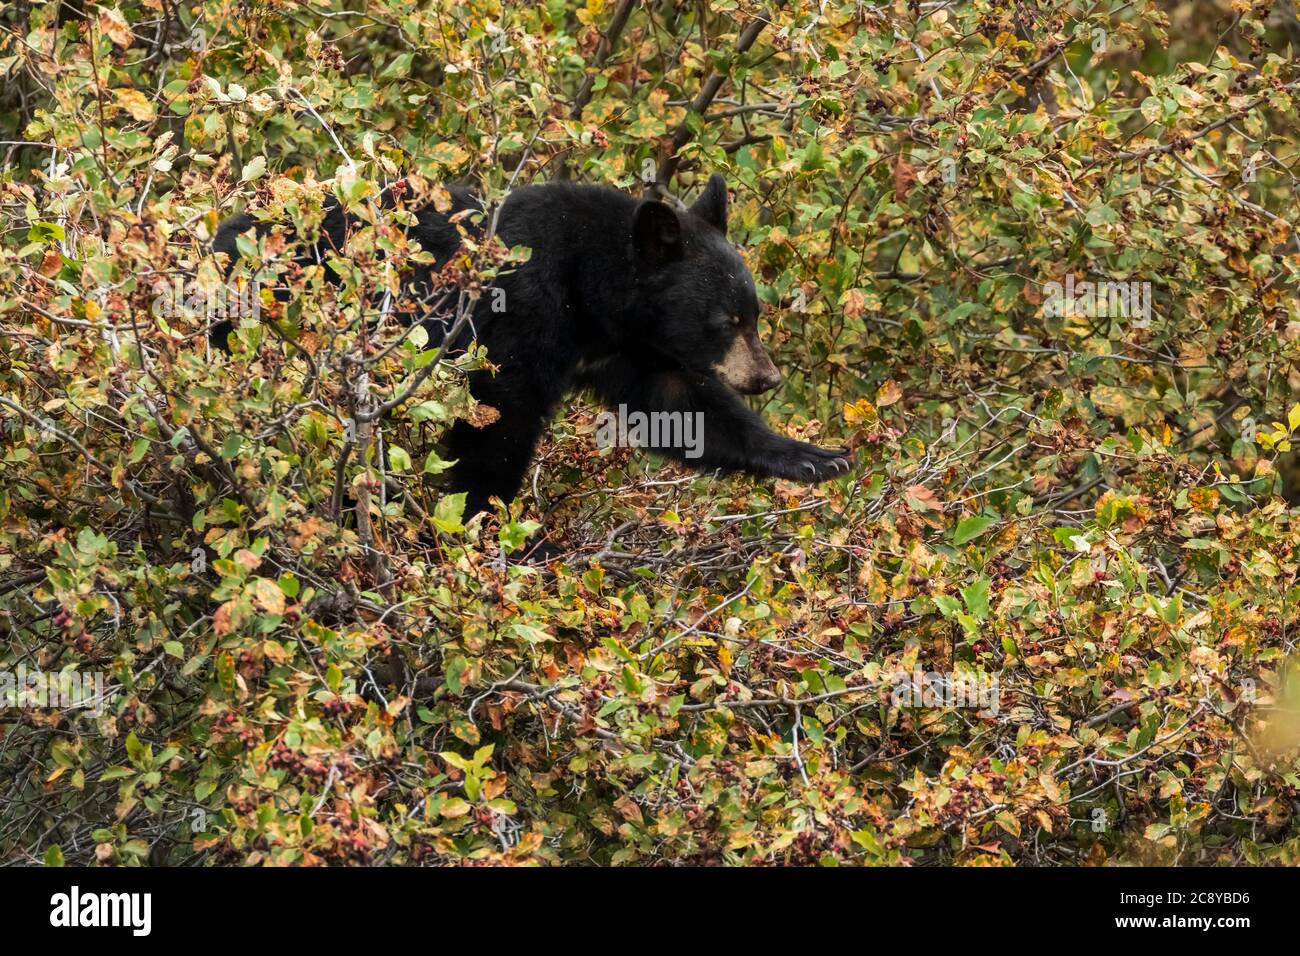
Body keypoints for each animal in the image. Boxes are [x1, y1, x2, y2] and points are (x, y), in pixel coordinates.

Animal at [212, 173, 852, 516]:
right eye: (726, 321)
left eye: (754, 315)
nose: (766, 378)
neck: (592, 292)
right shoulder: (523, 306)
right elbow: (499, 415)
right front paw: (486, 519)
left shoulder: (627, 348)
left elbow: (680, 406)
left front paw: (814, 456)